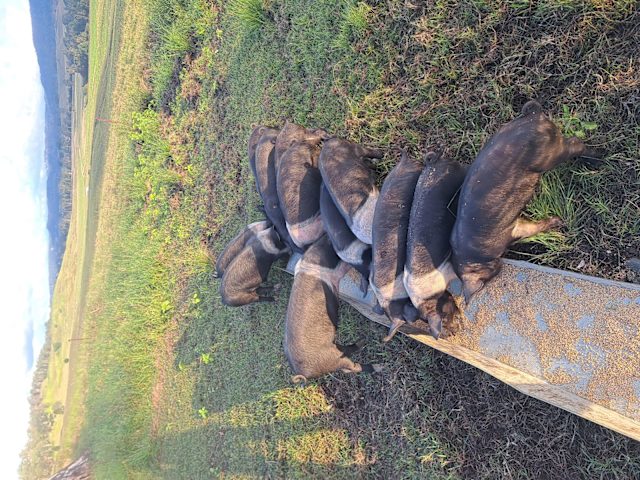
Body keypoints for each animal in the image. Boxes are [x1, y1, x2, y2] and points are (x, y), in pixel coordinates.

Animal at [284, 235, 382, 383]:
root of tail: (303, 373)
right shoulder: (334, 272)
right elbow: (344, 266)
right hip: (333, 358)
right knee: (352, 368)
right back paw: (378, 366)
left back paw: (363, 341)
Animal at [451, 100, 596, 302]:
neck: (472, 256)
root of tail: (532, 115)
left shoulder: (509, 233)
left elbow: (530, 229)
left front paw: (559, 221)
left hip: (552, 152)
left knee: (576, 143)